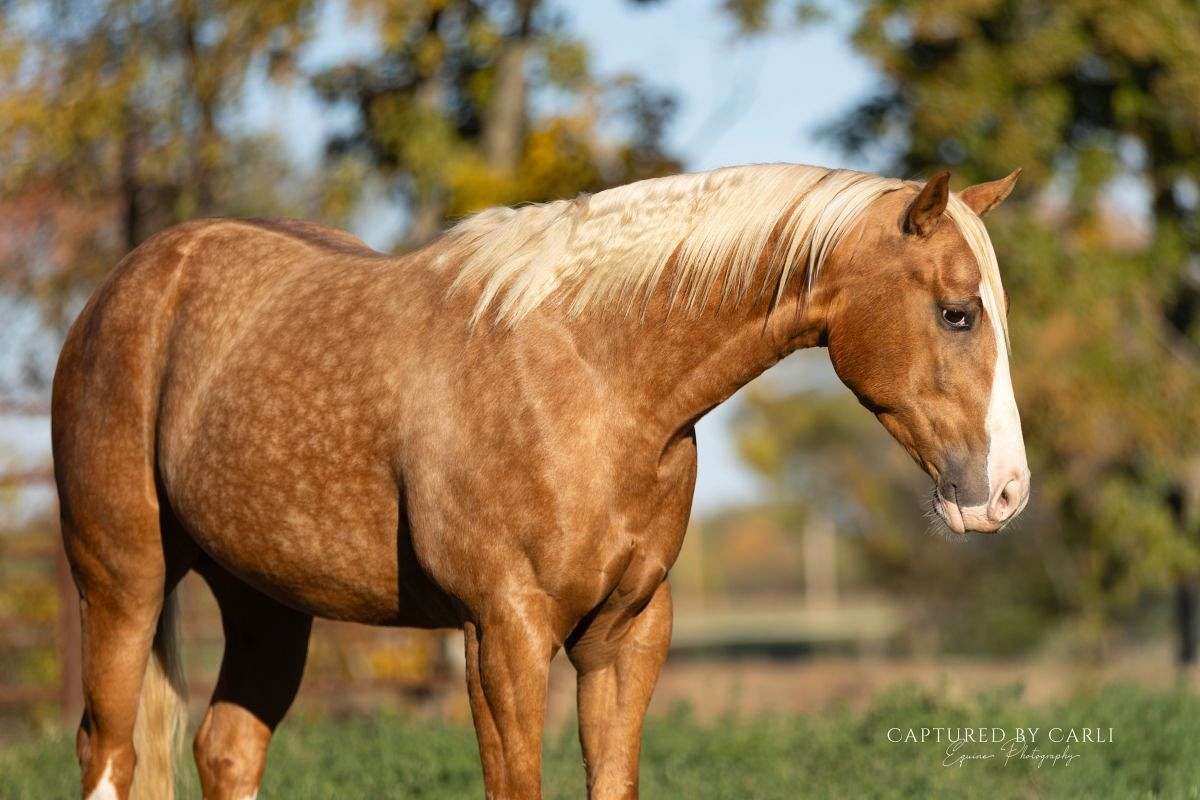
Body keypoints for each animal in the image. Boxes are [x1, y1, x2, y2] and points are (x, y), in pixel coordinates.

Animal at [52, 163, 1029, 800]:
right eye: (957, 313)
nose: (1005, 493)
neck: (595, 375)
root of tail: (133, 282)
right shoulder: (504, 633)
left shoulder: (625, 634)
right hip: (123, 582)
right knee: (109, 749)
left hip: (266, 602)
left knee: (226, 750)